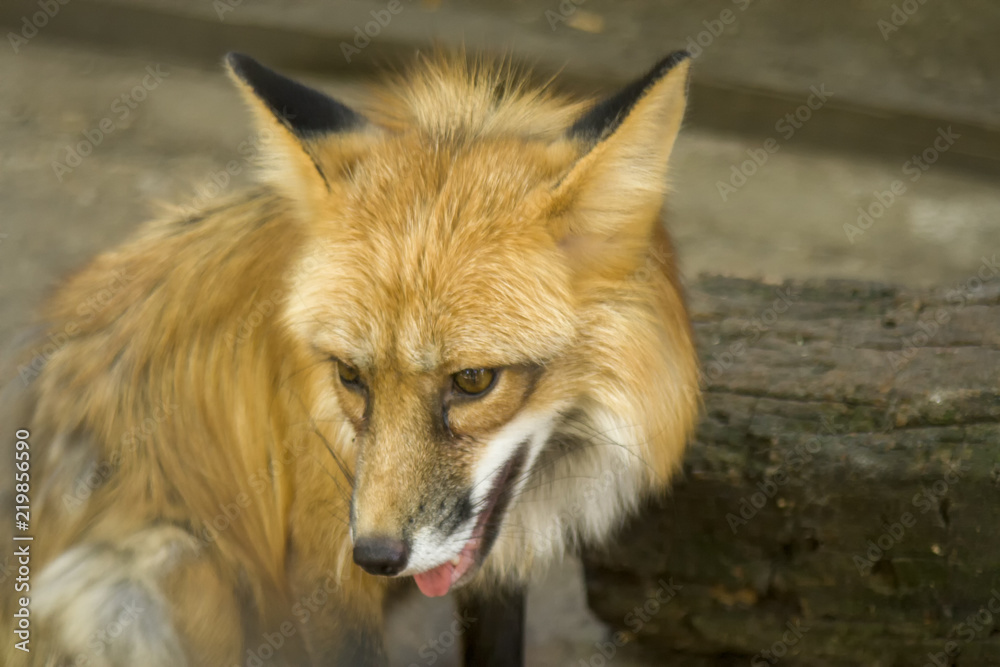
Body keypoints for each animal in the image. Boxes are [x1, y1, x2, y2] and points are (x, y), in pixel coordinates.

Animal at [0, 49, 700, 666]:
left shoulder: (486, 560)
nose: (377, 556)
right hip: (155, 574)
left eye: (473, 380)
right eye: (349, 375)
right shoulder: (323, 568)